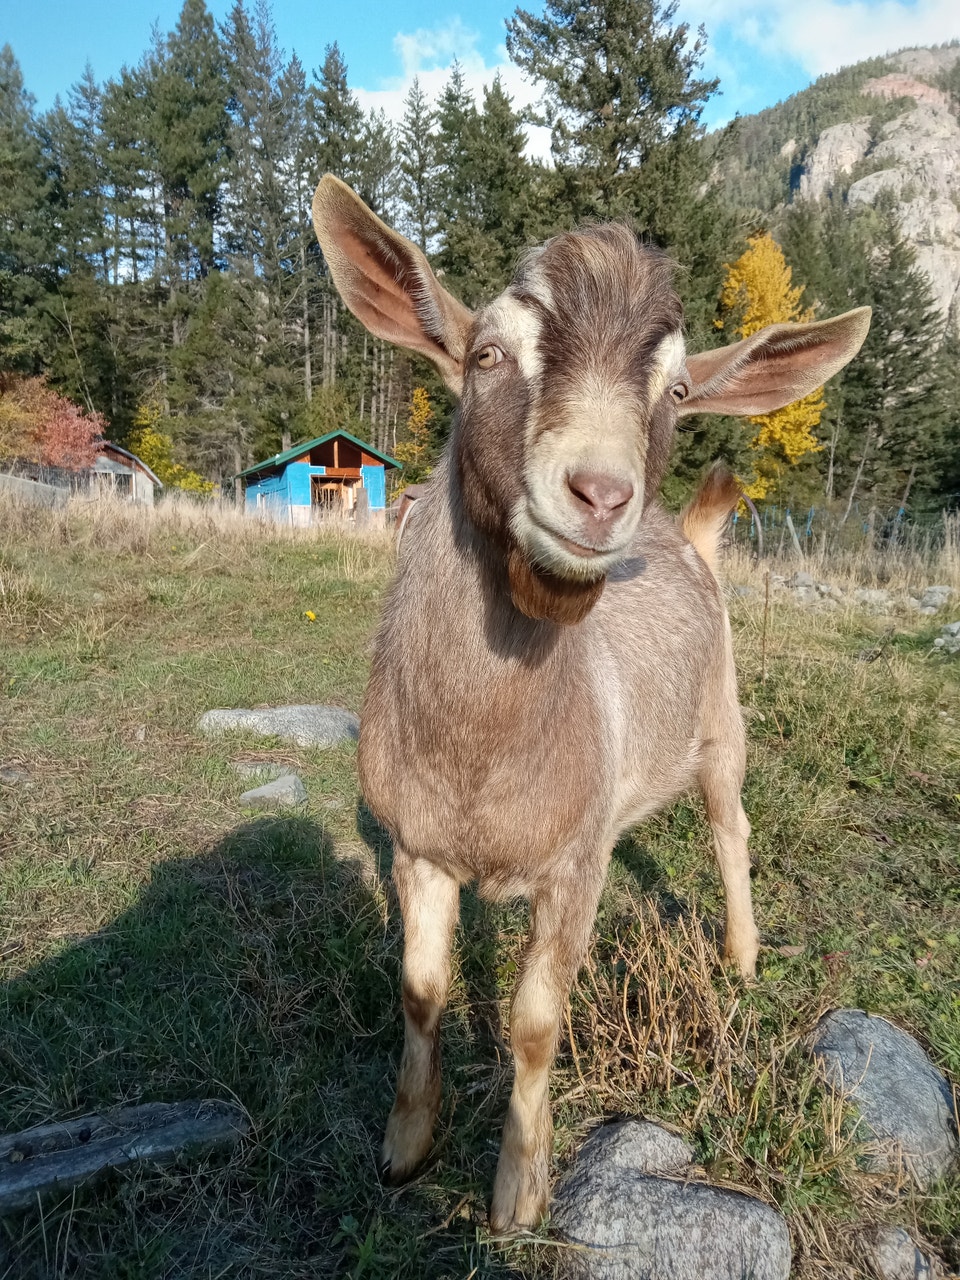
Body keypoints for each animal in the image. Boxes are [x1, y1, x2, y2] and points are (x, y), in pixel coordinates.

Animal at [311, 175, 870, 1233]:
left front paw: (518, 1193)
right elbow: (420, 992)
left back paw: (741, 956)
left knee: (731, 828)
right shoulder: (417, 845)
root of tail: (691, 530)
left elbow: (535, 1024)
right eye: (487, 353)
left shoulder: (577, 862)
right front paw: (404, 1148)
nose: (600, 494)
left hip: (723, 724)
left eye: (678, 391)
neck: (480, 758)